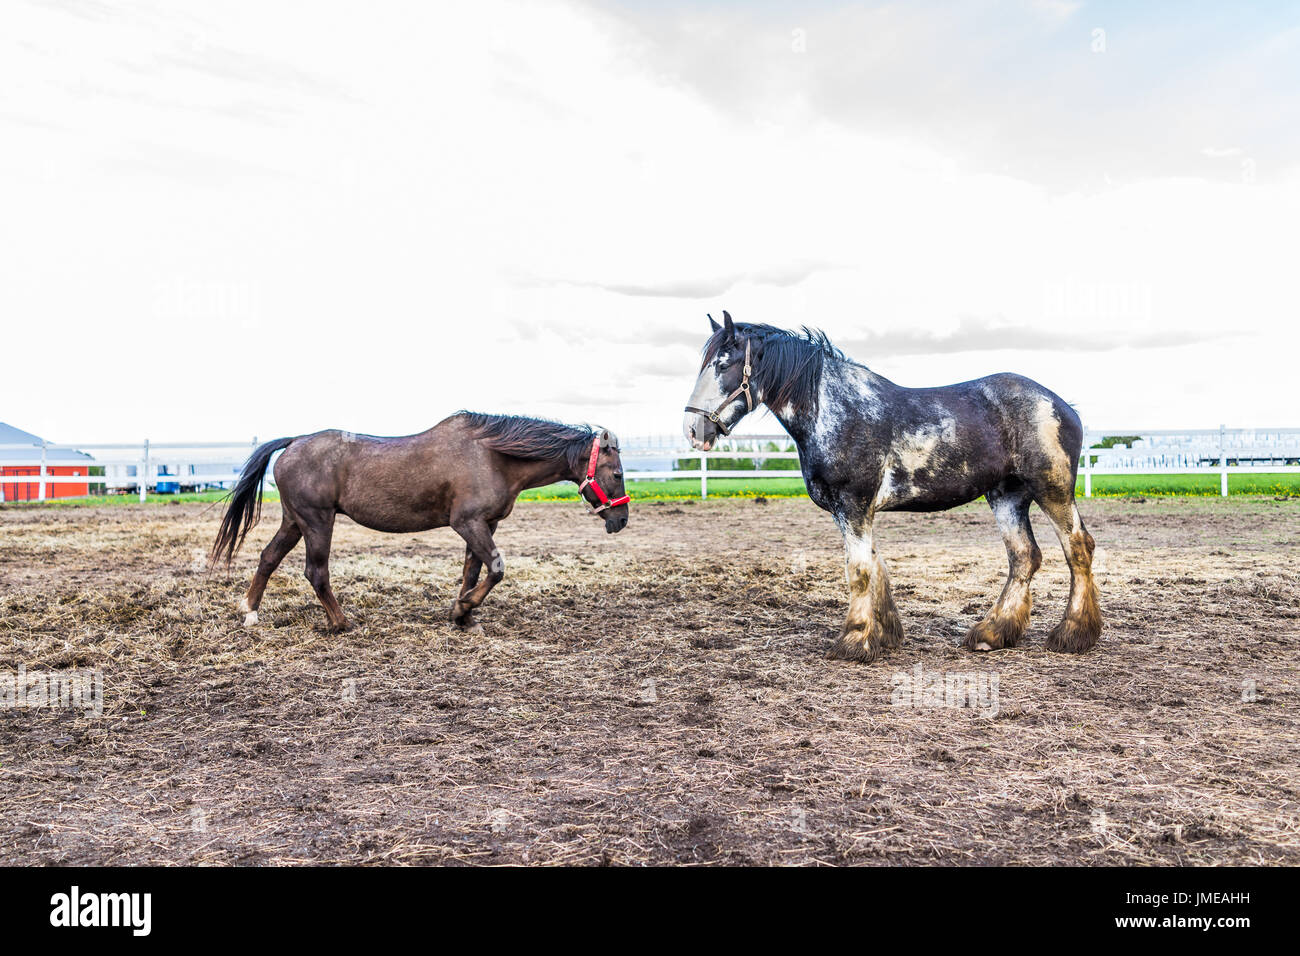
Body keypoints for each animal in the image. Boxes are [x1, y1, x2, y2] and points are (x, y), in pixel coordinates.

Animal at [210, 413, 630, 632]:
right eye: (617, 473)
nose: (622, 519)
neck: (492, 456)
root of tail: (294, 441)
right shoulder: (467, 522)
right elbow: (495, 569)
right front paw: (464, 608)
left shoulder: (484, 524)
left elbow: (472, 570)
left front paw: (463, 614)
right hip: (317, 521)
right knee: (316, 572)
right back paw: (342, 622)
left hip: (294, 521)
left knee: (268, 558)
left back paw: (250, 612)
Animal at [683, 312, 1101, 663]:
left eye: (723, 365)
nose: (693, 430)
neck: (837, 411)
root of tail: (1065, 407)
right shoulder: (851, 511)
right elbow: (875, 567)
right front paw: (884, 635)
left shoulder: (854, 506)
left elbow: (859, 571)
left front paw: (854, 641)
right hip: (1006, 495)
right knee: (1024, 556)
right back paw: (991, 633)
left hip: (1051, 489)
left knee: (1077, 547)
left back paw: (1073, 634)